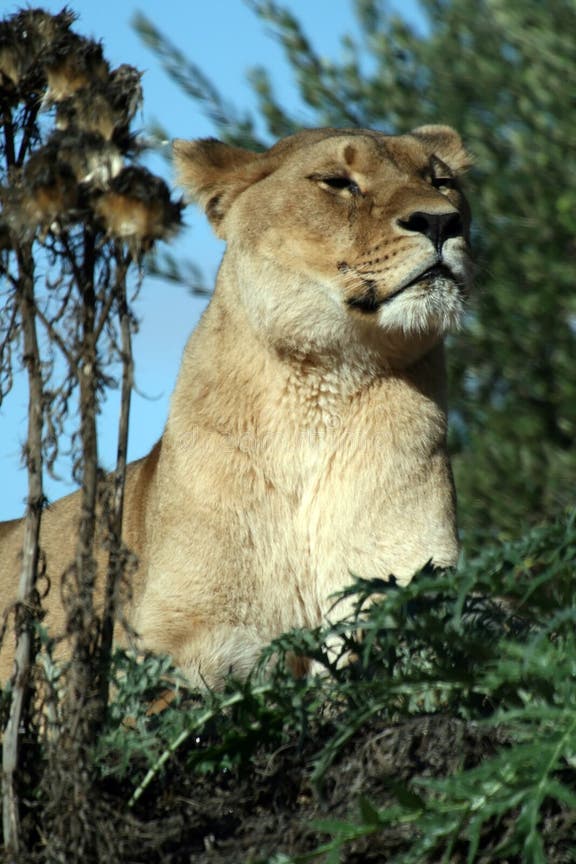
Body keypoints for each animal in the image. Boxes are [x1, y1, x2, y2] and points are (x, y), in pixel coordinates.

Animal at [0, 125, 472, 688]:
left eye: (441, 181)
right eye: (337, 182)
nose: (442, 221)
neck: (320, 392)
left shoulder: (406, 597)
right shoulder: (190, 643)